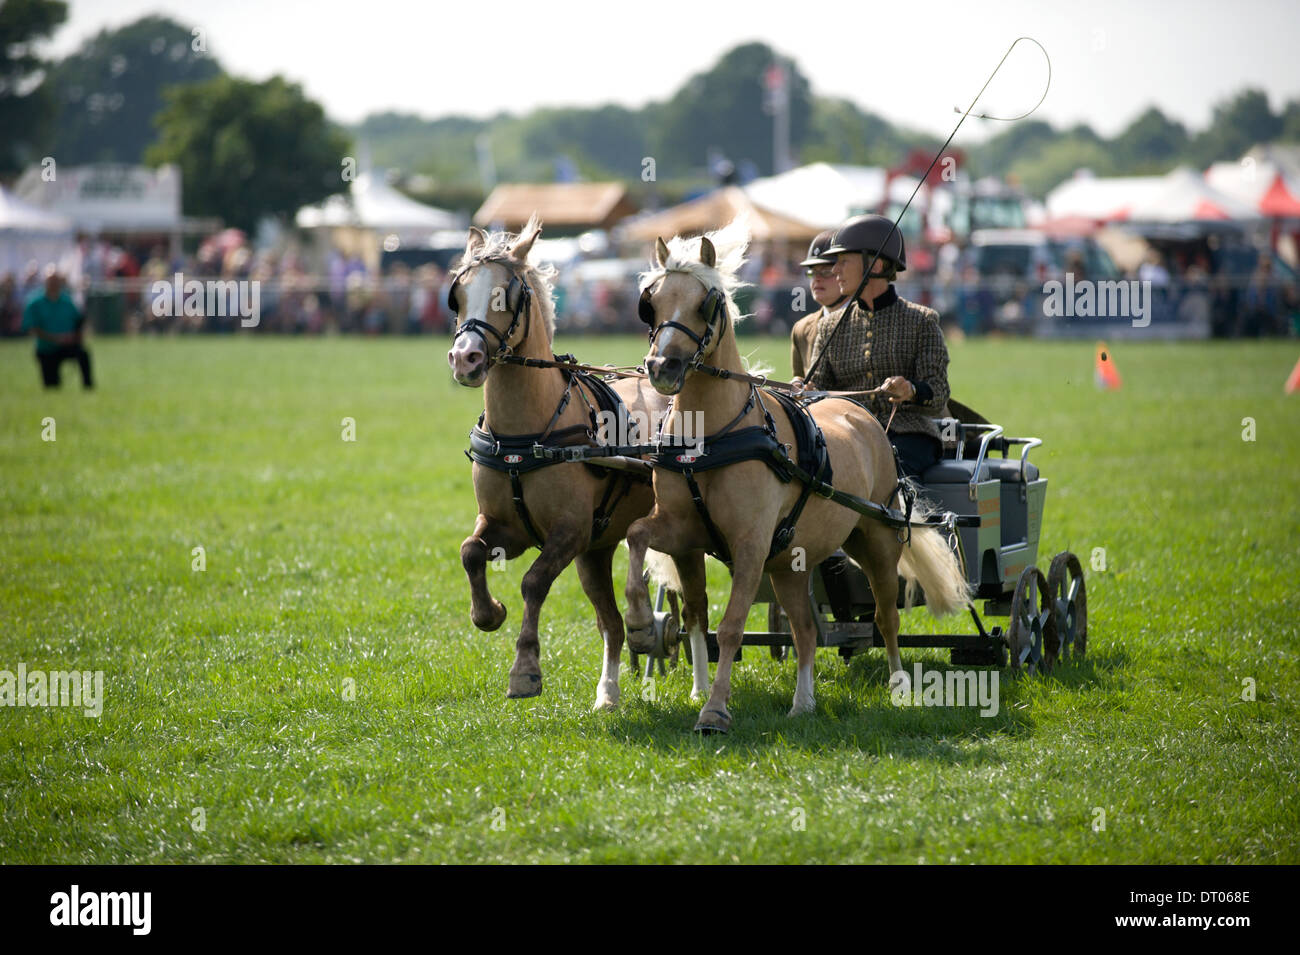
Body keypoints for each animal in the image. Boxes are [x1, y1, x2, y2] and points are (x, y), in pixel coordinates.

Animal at [447, 216, 697, 709]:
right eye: (459, 294)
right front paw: (489, 612)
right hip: (596, 552)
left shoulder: (570, 531)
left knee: (699, 614)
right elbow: (470, 552)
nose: (464, 358)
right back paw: (609, 693)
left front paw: (525, 668)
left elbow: (533, 582)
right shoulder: (507, 528)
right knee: (612, 625)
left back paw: (702, 690)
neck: (525, 435)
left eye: (506, 294)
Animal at [623, 219, 971, 733]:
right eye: (652, 300)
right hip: (790, 562)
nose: (662, 367)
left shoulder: (750, 545)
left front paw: (714, 710)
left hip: (875, 541)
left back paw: (898, 687)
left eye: (707, 302)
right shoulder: (684, 531)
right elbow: (641, 541)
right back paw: (803, 702)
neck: (712, 436)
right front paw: (641, 623)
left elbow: (730, 627)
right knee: (806, 630)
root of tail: (860, 410)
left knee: (886, 617)